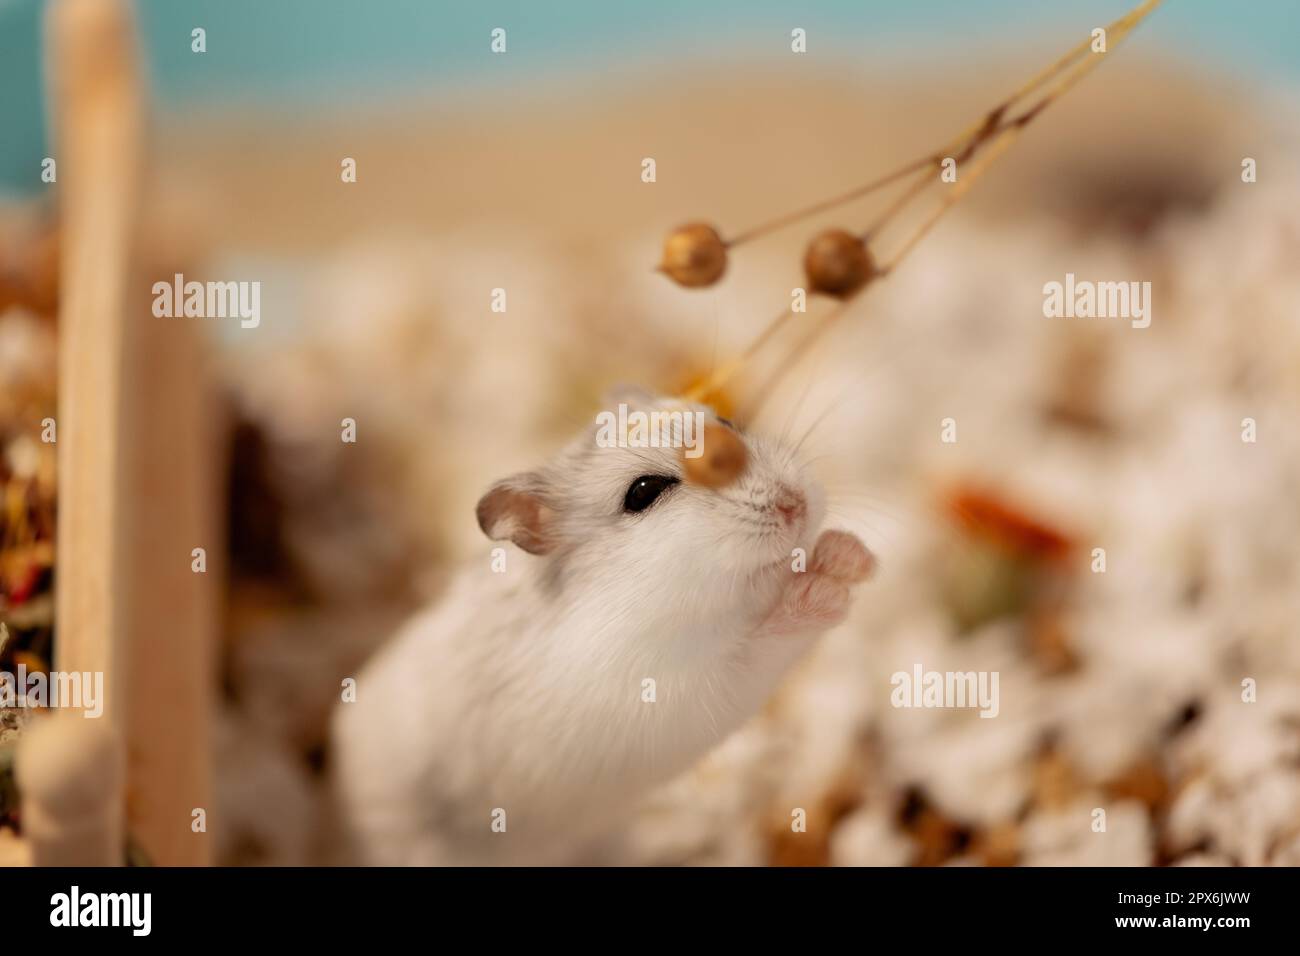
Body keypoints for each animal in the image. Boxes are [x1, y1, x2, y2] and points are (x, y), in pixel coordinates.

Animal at [330, 387, 874, 865]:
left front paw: (851, 553)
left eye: (729, 424)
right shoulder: (676, 689)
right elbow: (762, 644)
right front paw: (828, 583)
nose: (796, 504)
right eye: (644, 492)